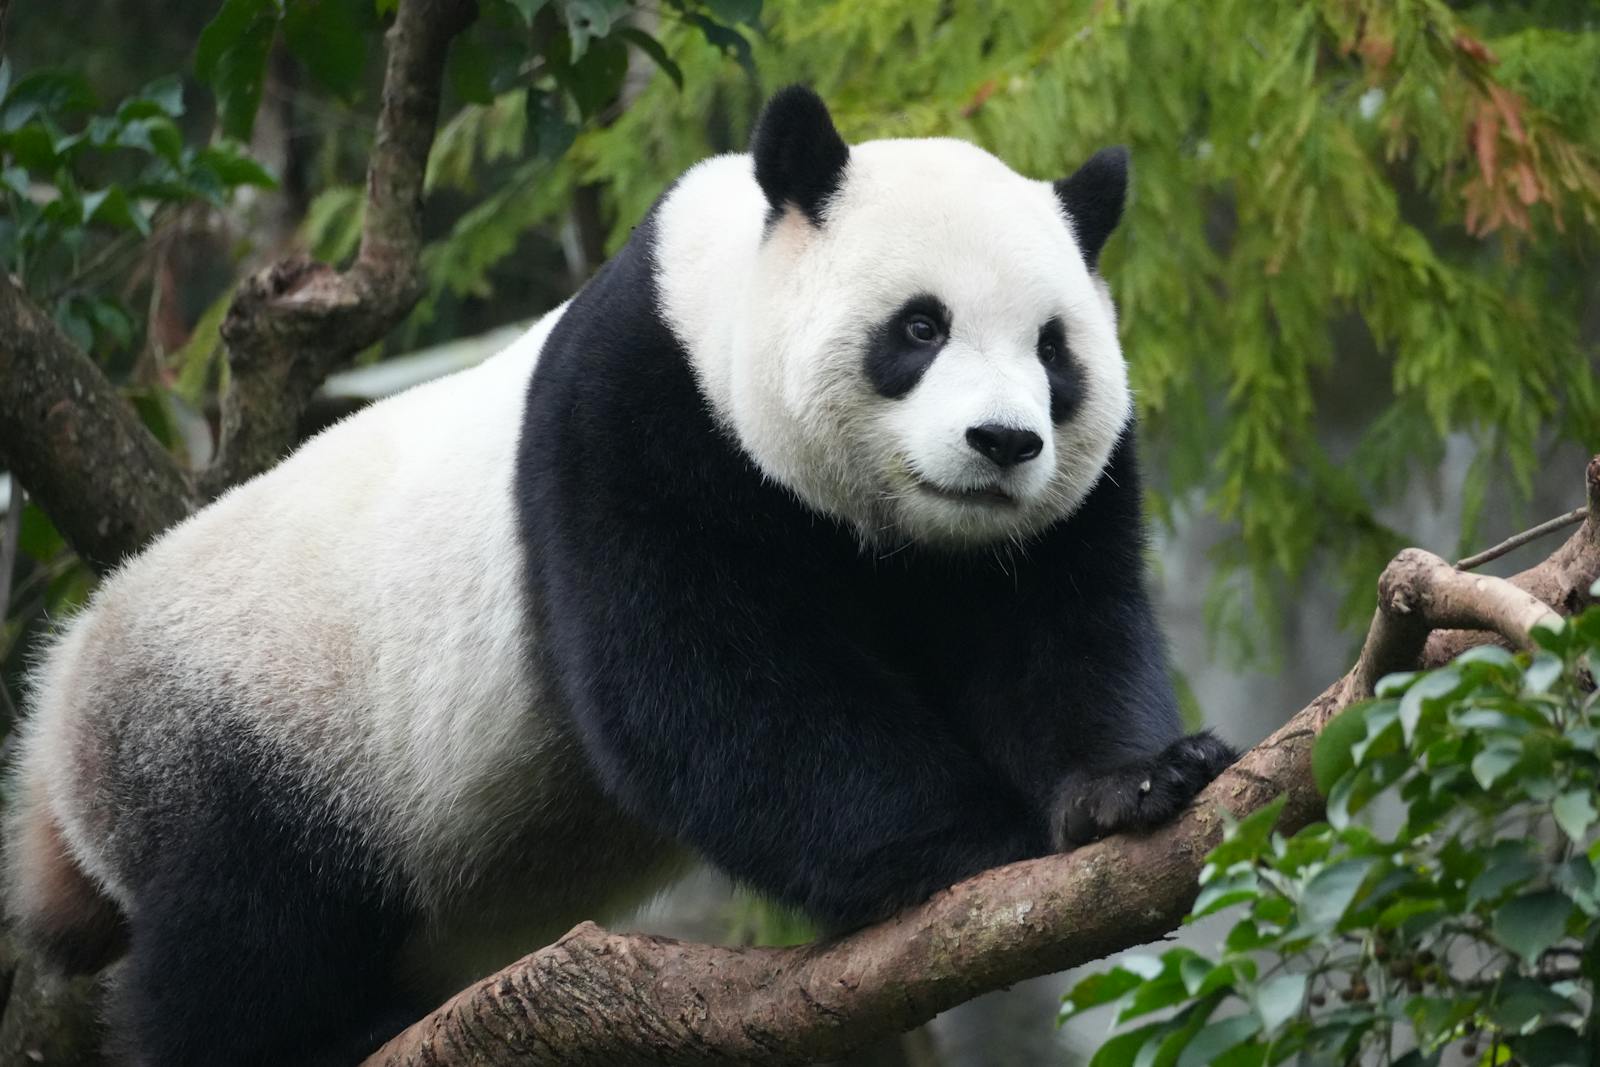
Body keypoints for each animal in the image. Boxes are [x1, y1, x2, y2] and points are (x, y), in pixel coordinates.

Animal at [2, 87, 1235, 1066]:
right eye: (919, 328)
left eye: (1054, 349)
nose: (1002, 443)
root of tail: (56, 726)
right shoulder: (638, 417)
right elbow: (708, 683)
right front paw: (977, 844)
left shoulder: (1040, 519)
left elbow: (1058, 634)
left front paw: (1131, 784)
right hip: (237, 725)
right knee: (241, 926)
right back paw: (307, 1035)